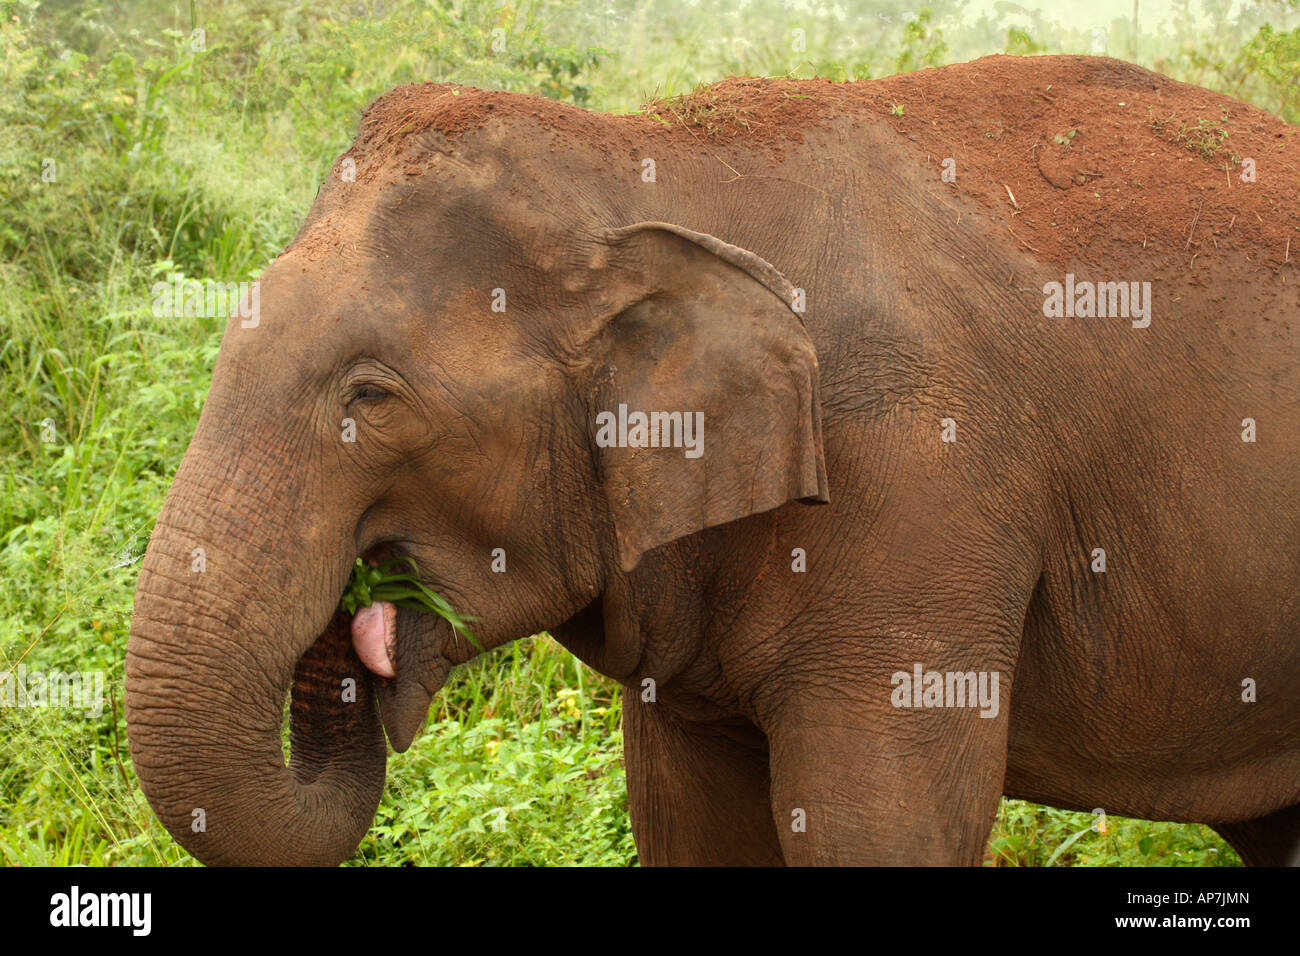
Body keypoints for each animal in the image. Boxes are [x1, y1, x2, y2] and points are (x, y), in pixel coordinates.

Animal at [125, 54, 1300, 866]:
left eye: (370, 395)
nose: (358, 609)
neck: (640, 157)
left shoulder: (919, 492)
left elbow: (882, 829)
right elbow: (692, 828)